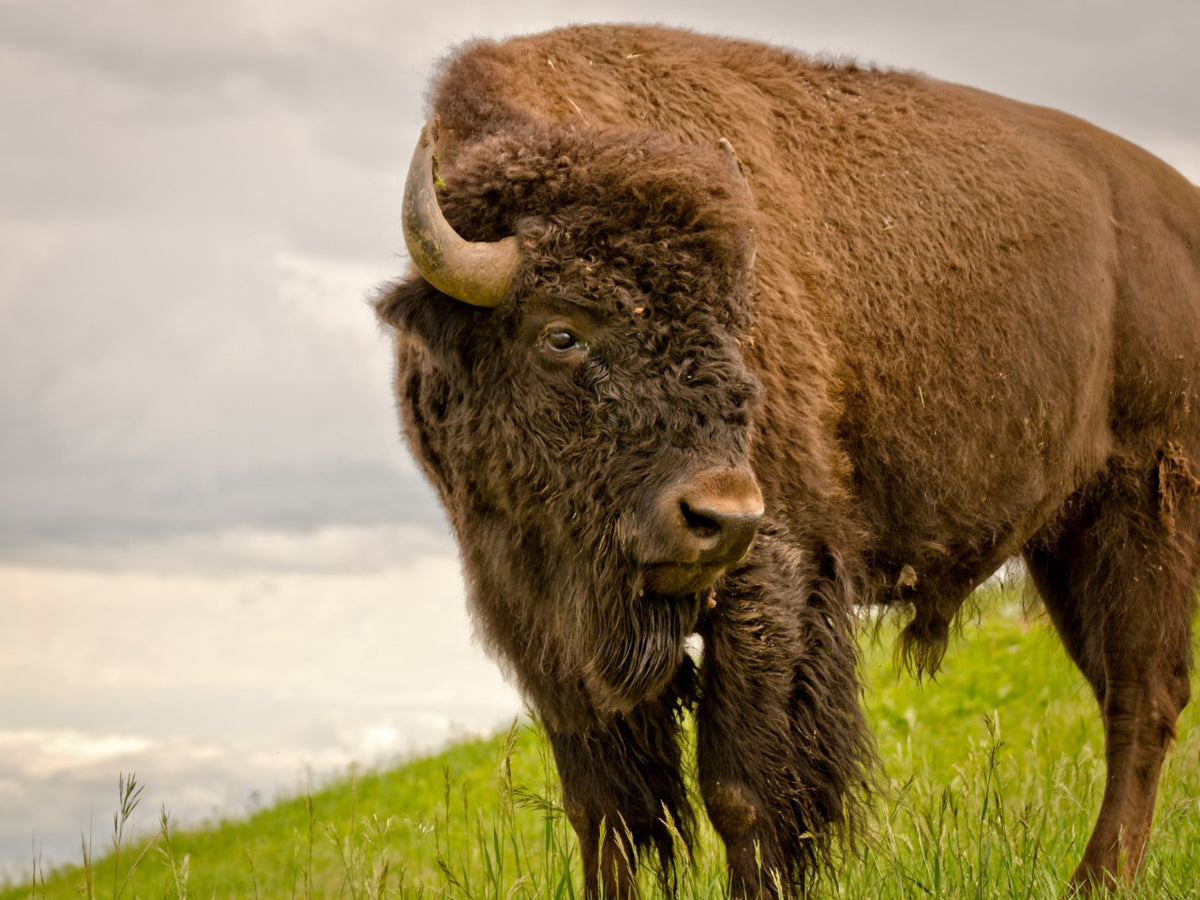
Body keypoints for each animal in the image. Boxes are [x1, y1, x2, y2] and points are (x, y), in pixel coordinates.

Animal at [375, 24, 1200, 898]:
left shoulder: (772, 575)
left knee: (1143, 698)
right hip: (1066, 539)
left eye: (736, 326)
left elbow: (743, 790)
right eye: (561, 332)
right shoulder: (540, 617)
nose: (719, 514)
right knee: (1119, 688)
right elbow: (609, 814)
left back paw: (1097, 878)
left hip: (1145, 503)